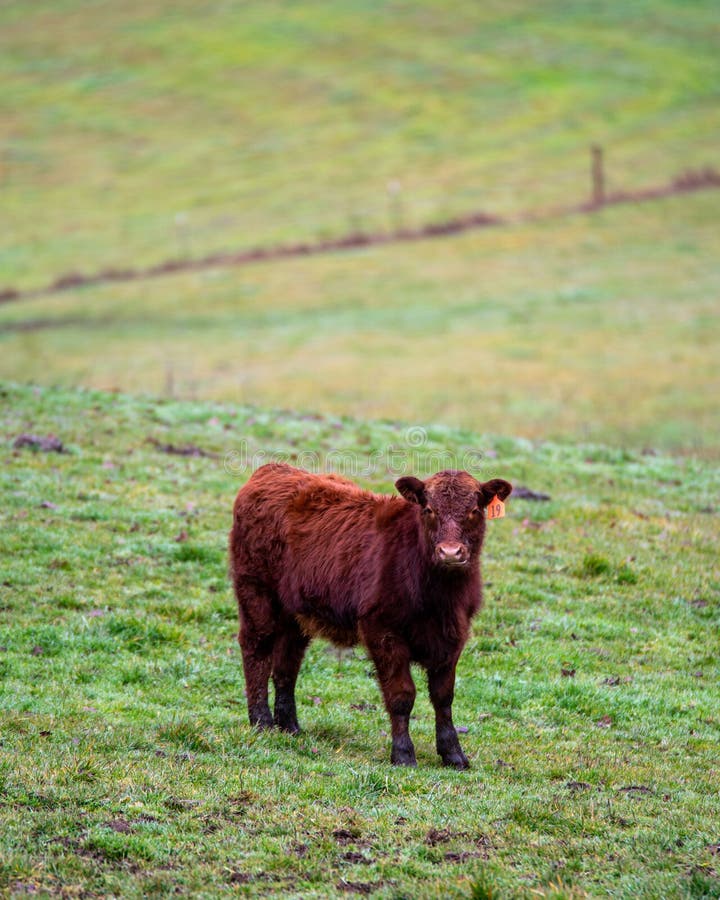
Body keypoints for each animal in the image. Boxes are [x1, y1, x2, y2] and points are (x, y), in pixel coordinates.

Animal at [229, 463, 512, 768]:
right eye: (428, 509)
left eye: (474, 510)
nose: (450, 552)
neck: (439, 597)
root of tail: (271, 469)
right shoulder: (382, 630)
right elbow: (402, 694)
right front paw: (403, 753)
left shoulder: (453, 636)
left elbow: (443, 696)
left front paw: (454, 754)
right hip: (256, 593)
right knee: (256, 650)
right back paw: (262, 722)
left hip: (295, 612)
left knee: (286, 664)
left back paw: (290, 726)